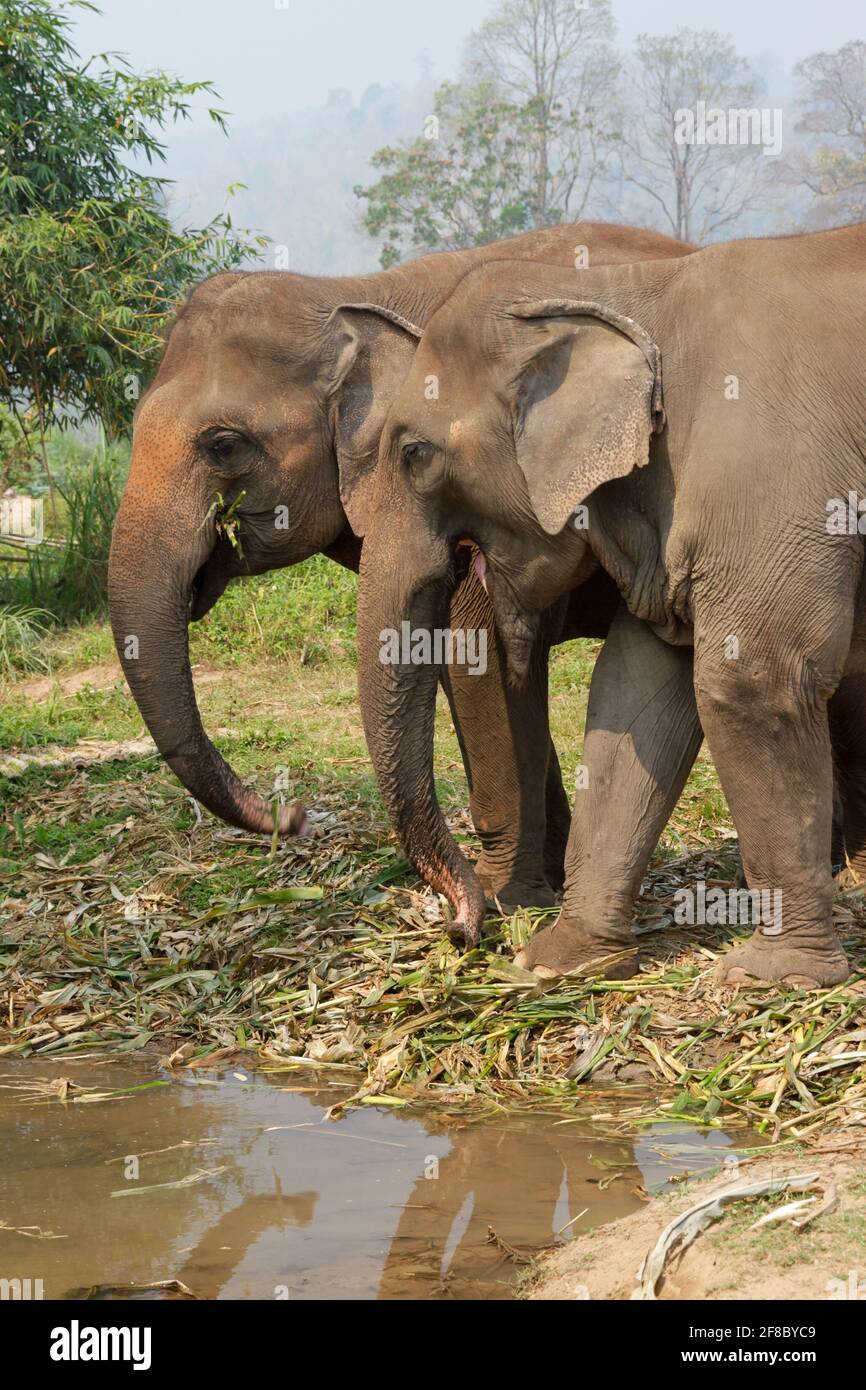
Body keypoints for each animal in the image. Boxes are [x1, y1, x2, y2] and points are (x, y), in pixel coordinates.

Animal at [108, 221, 693, 911]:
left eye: (223, 445)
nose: (293, 818)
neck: (344, 292)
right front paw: (539, 883)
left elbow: (475, 659)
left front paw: (502, 900)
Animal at [353, 222, 866, 990]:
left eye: (415, 453)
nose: (465, 930)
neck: (629, 291)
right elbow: (634, 689)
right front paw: (555, 963)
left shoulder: (777, 472)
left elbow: (754, 678)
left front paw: (768, 978)